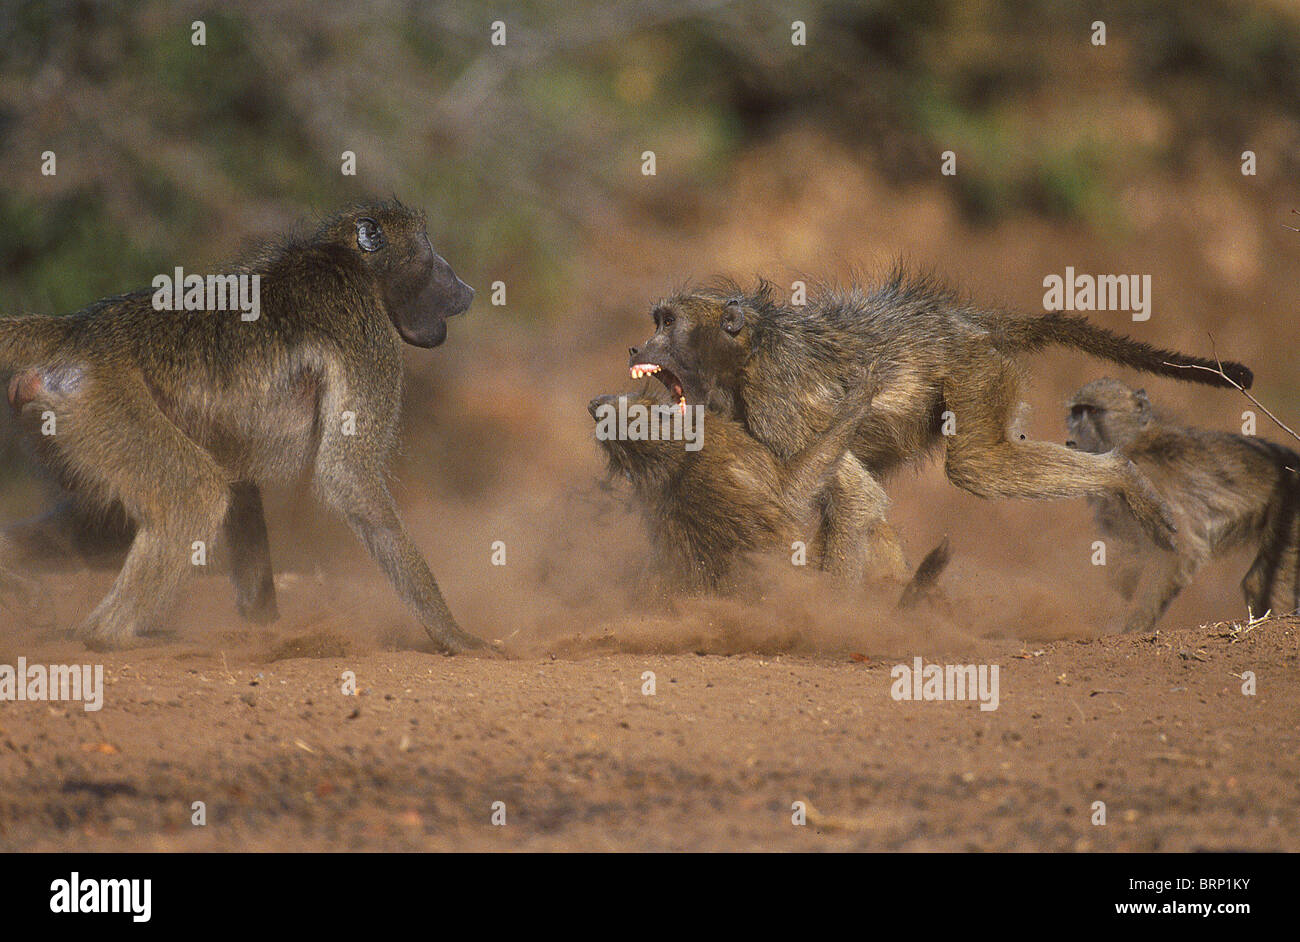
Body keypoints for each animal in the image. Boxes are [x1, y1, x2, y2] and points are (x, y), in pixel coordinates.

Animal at [0, 199, 485, 652]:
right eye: (429, 253)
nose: (466, 288)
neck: (349, 263)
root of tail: (76, 331)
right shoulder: (367, 336)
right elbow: (349, 475)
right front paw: (454, 634)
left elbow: (244, 487)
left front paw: (264, 623)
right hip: (107, 403)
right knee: (194, 495)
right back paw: (112, 636)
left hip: (78, 424)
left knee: (105, 525)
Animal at [588, 371, 951, 602]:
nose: (594, 404)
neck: (671, 456)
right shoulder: (740, 453)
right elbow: (794, 490)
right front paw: (860, 397)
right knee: (867, 519)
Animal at [625, 269, 1253, 585]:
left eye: (666, 323)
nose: (637, 346)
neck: (751, 351)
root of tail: (967, 323)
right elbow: (854, 502)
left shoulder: (780, 406)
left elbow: (851, 497)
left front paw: (825, 617)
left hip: (974, 371)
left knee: (976, 466)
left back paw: (1122, 475)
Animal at [1065, 377, 1300, 632]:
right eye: (1076, 412)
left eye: (1094, 411)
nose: (1072, 440)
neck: (1132, 441)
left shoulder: (1149, 482)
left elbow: (1180, 554)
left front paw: (1133, 628)